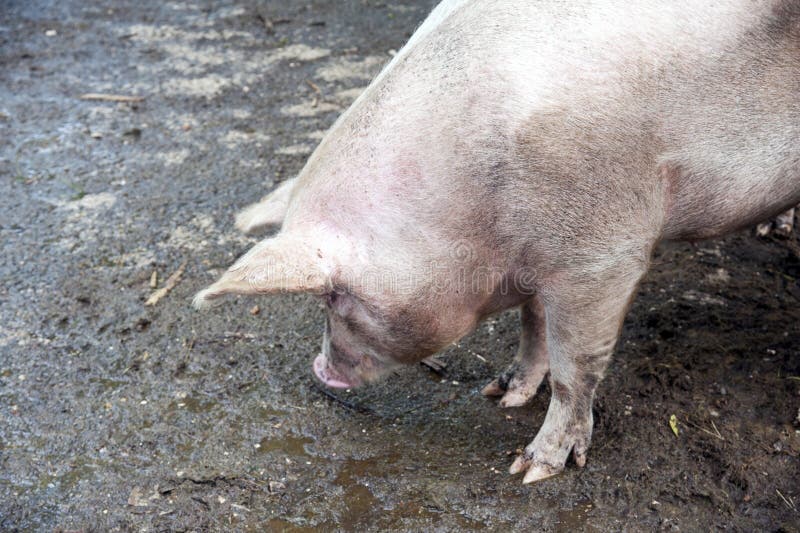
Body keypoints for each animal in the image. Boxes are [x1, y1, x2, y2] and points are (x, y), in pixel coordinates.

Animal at [194, 0, 800, 484]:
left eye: (332, 297)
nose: (320, 370)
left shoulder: (604, 253)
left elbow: (576, 366)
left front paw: (532, 470)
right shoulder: (541, 262)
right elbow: (532, 326)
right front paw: (499, 393)